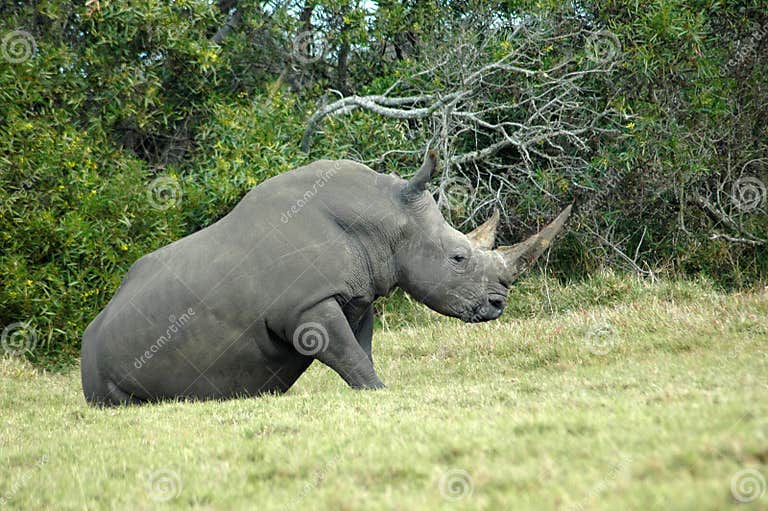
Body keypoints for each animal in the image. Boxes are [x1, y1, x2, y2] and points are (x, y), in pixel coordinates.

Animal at [81, 150, 571, 404]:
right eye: (458, 258)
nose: (497, 305)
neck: (385, 218)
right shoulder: (306, 306)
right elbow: (345, 351)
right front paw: (380, 393)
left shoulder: (357, 294)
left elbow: (360, 348)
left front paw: (370, 390)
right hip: (97, 360)